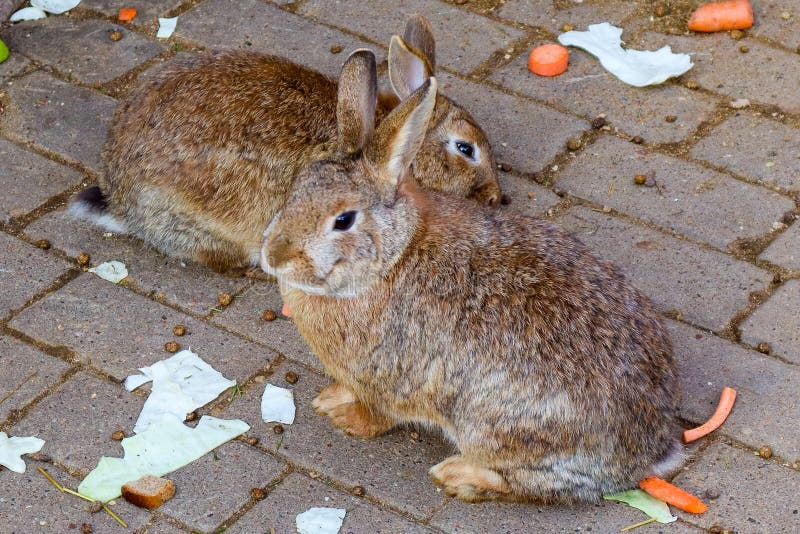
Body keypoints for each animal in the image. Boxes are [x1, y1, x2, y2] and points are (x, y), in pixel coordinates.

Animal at [259, 72, 683, 503]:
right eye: (296, 190)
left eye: (343, 220)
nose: (274, 256)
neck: (392, 257)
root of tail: (650, 451)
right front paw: (330, 398)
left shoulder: (384, 379)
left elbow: (375, 415)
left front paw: (345, 418)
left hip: (494, 428)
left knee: (526, 485)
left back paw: (457, 475)